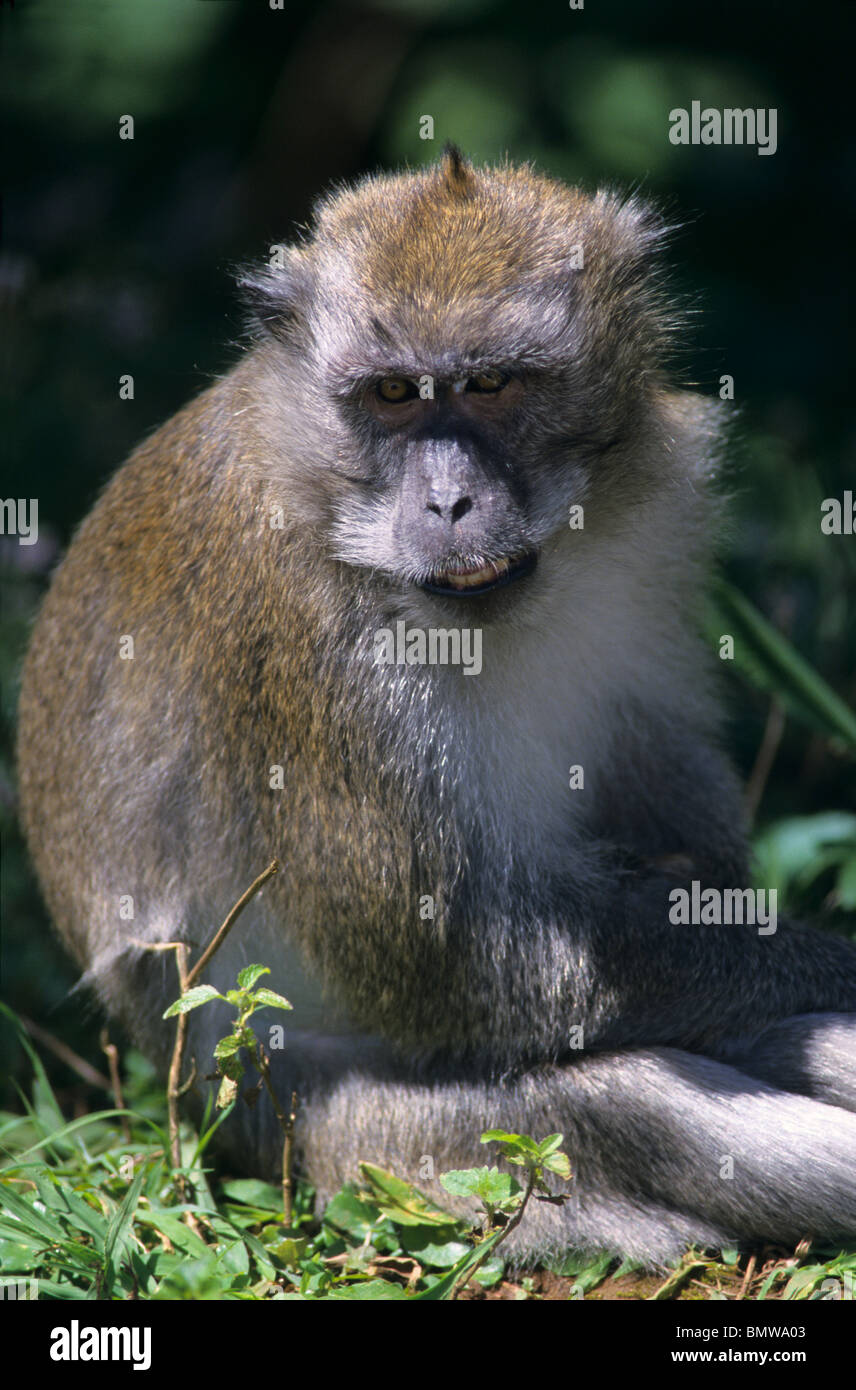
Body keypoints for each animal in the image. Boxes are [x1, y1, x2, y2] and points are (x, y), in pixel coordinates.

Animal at [16, 149, 856, 1266]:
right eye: (391, 394)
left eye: (491, 384)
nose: (449, 502)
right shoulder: (307, 643)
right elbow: (448, 961)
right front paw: (837, 965)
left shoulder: (659, 511)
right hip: (317, 1121)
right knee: (630, 1106)